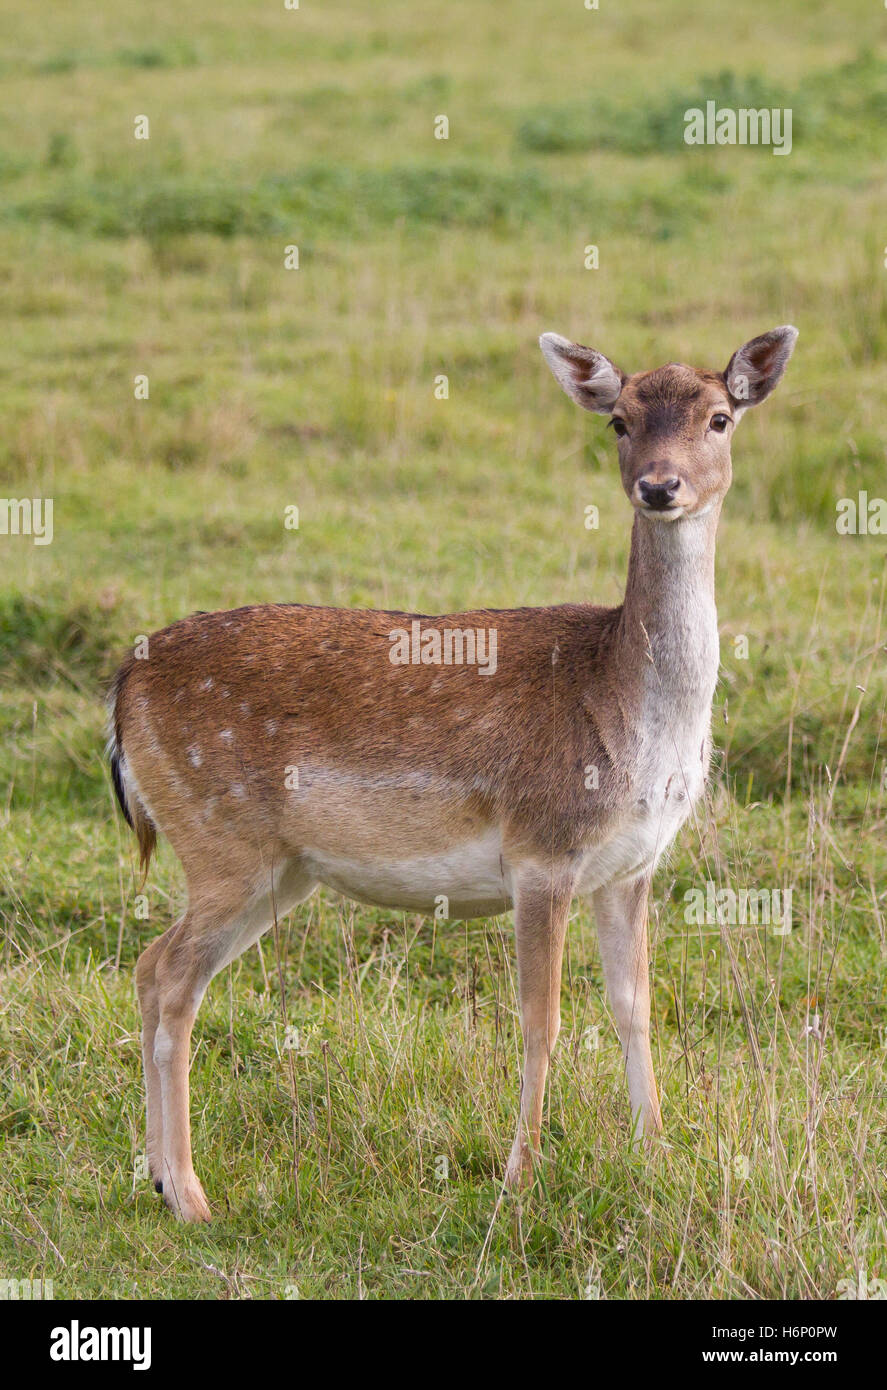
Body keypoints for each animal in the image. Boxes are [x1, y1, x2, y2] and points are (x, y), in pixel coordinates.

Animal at [108, 326, 797, 1221]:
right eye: (618, 420)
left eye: (718, 418)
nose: (658, 485)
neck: (634, 718)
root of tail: (124, 684)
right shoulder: (542, 850)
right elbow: (540, 1019)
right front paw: (520, 1178)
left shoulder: (631, 865)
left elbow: (634, 1007)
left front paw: (655, 1151)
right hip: (221, 837)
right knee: (169, 976)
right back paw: (189, 1193)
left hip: (278, 870)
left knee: (154, 968)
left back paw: (161, 1179)